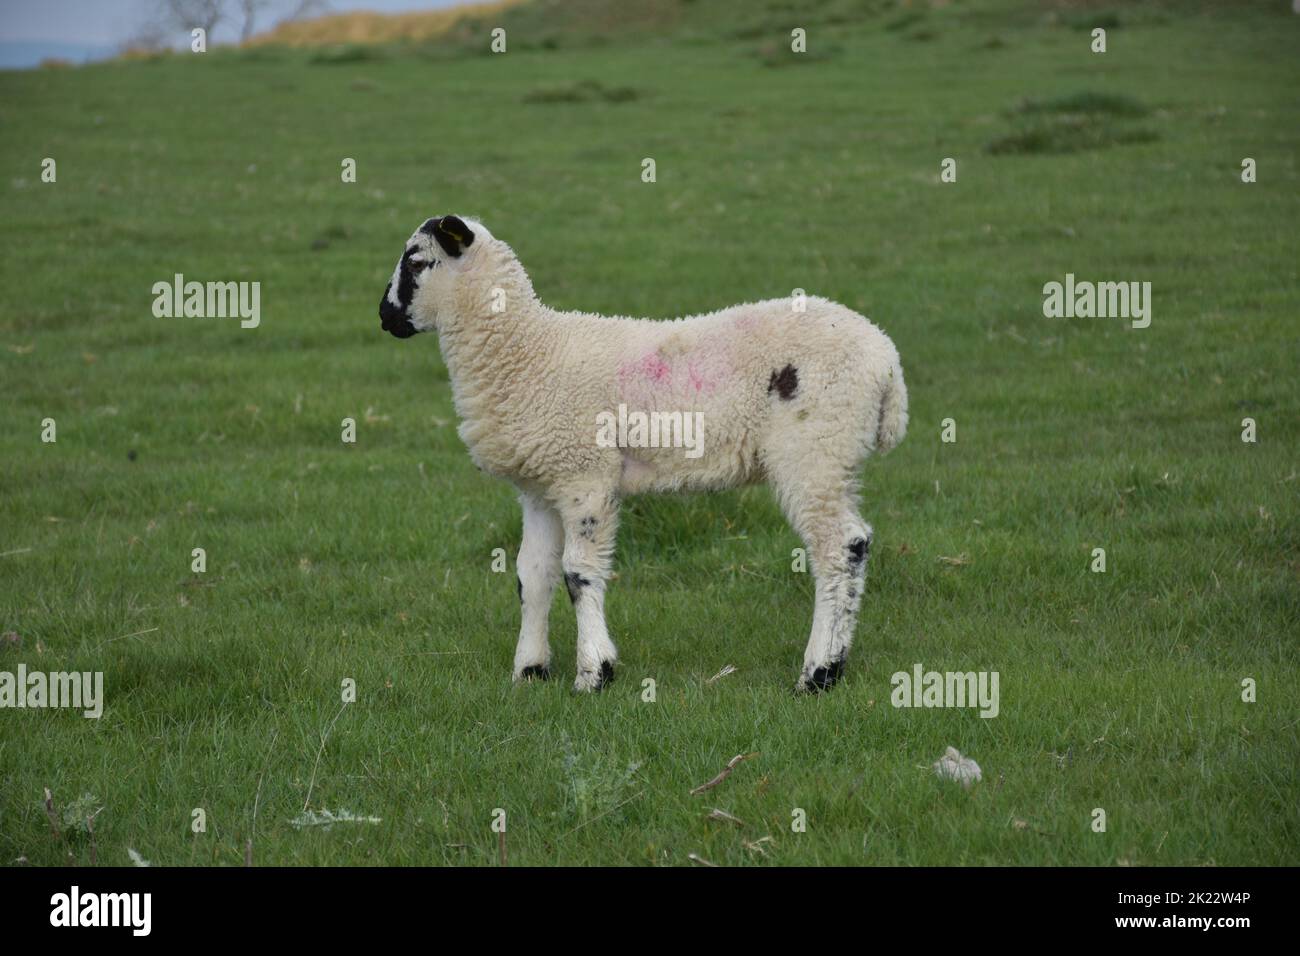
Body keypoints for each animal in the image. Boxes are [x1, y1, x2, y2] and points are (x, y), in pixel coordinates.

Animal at [379, 215, 908, 693]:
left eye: (417, 261)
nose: (384, 317)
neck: (528, 350)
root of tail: (887, 358)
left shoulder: (585, 474)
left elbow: (578, 574)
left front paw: (594, 673)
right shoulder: (540, 486)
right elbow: (532, 576)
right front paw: (529, 670)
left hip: (814, 451)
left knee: (841, 548)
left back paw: (818, 673)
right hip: (832, 456)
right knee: (851, 544)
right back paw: (833, 666)